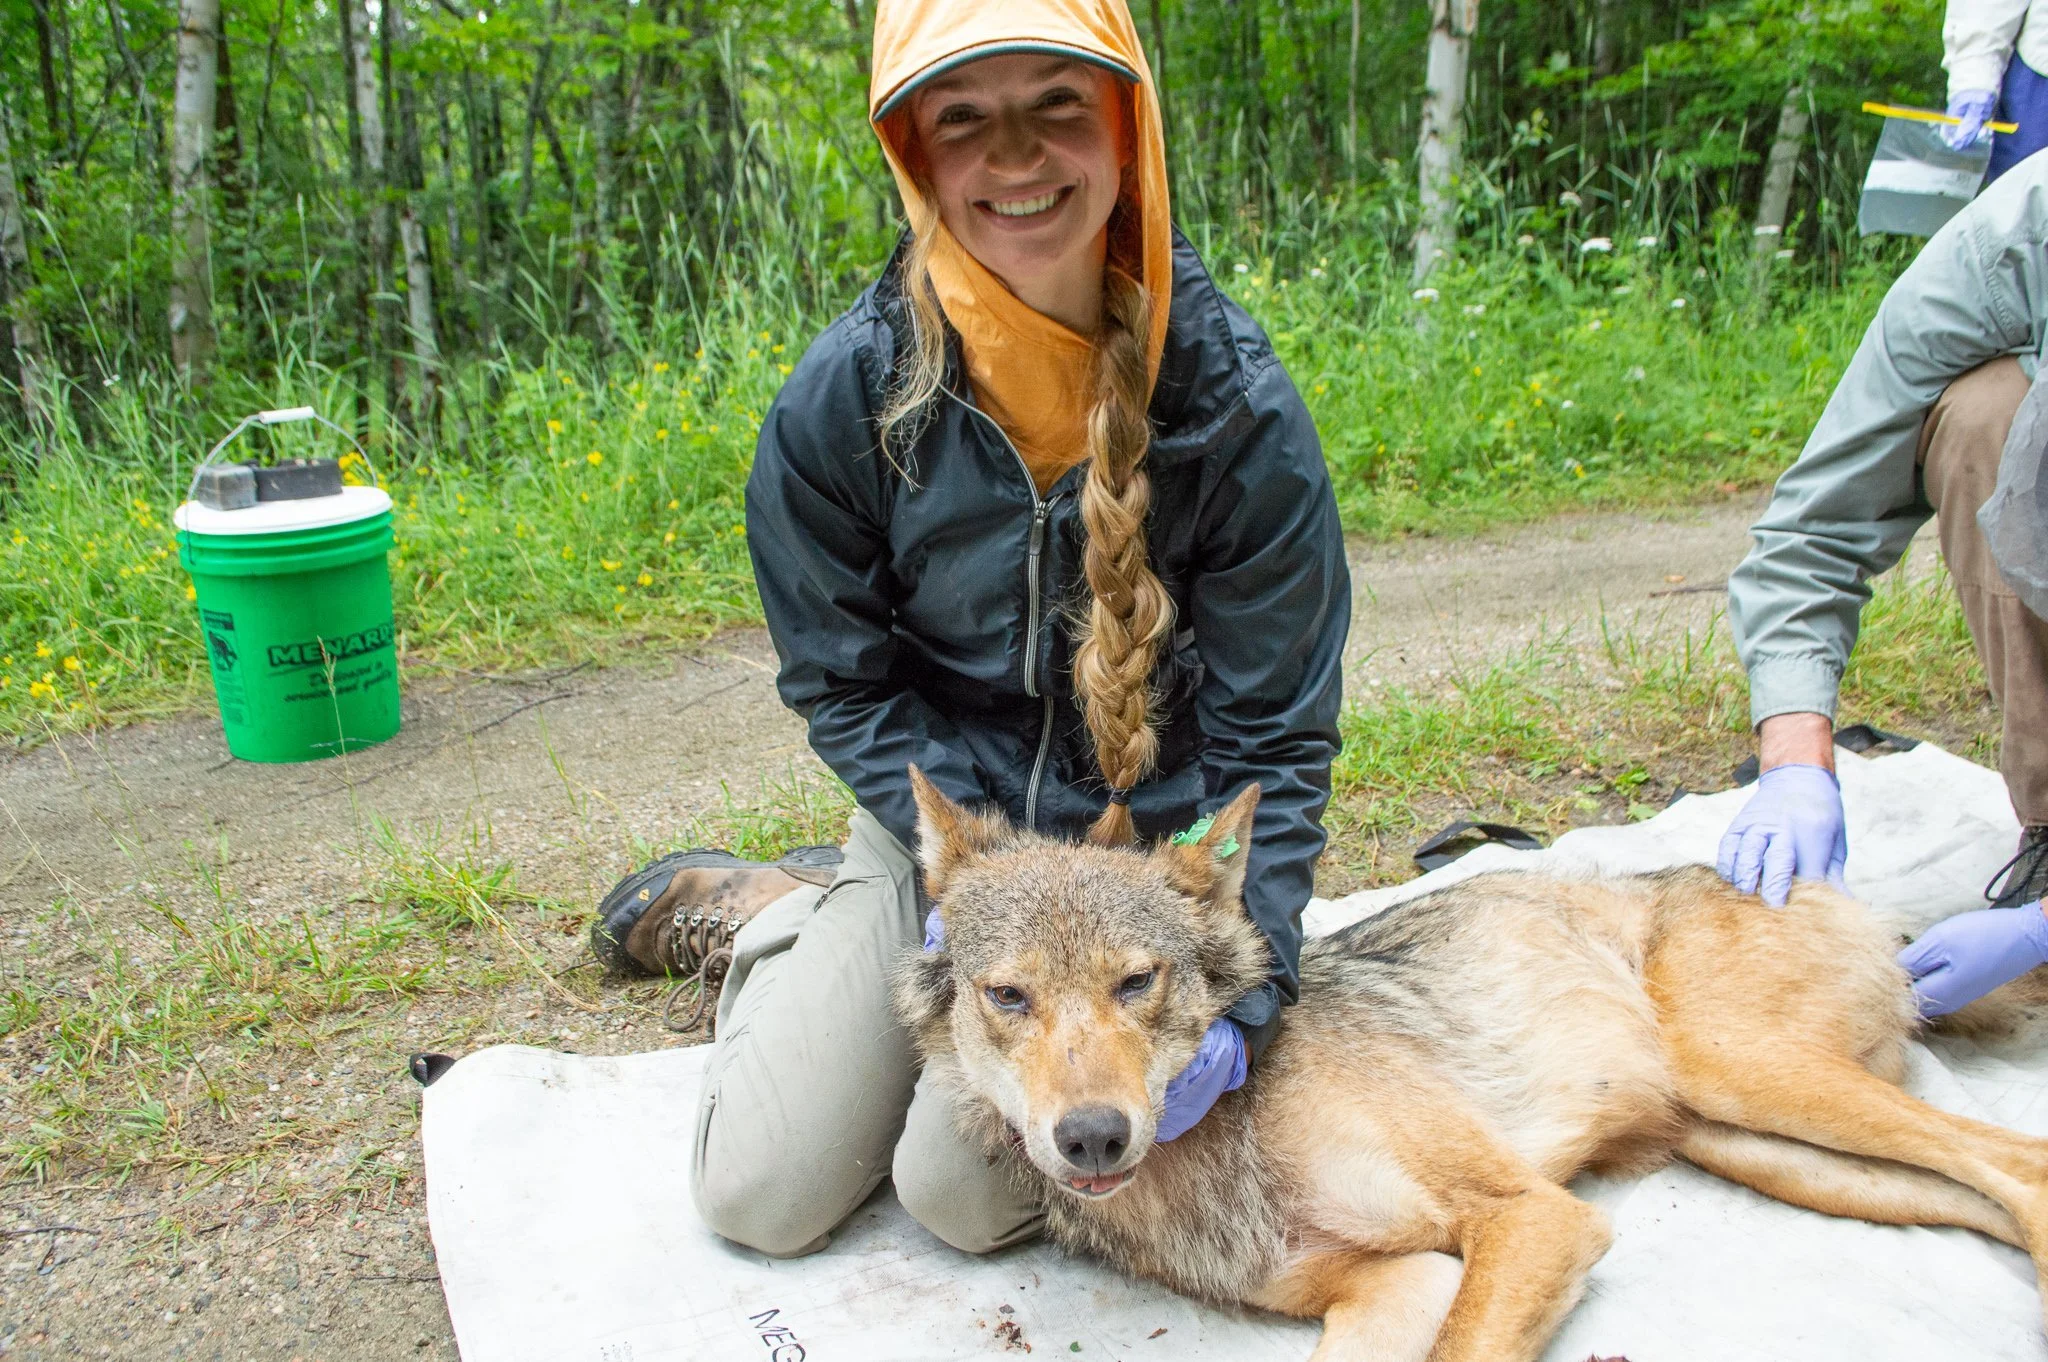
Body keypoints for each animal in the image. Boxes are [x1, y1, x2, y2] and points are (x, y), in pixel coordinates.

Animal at [894, 769, 2048, 1362]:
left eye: (1137, 982)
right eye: (1008, 998)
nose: (1093, 1136)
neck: (1224, 1135)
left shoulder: (1533, 1217)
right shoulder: (1401, 1284)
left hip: (1753, 1084)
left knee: (2017, 1164)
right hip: (1776, 1155)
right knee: (1988, 1186)